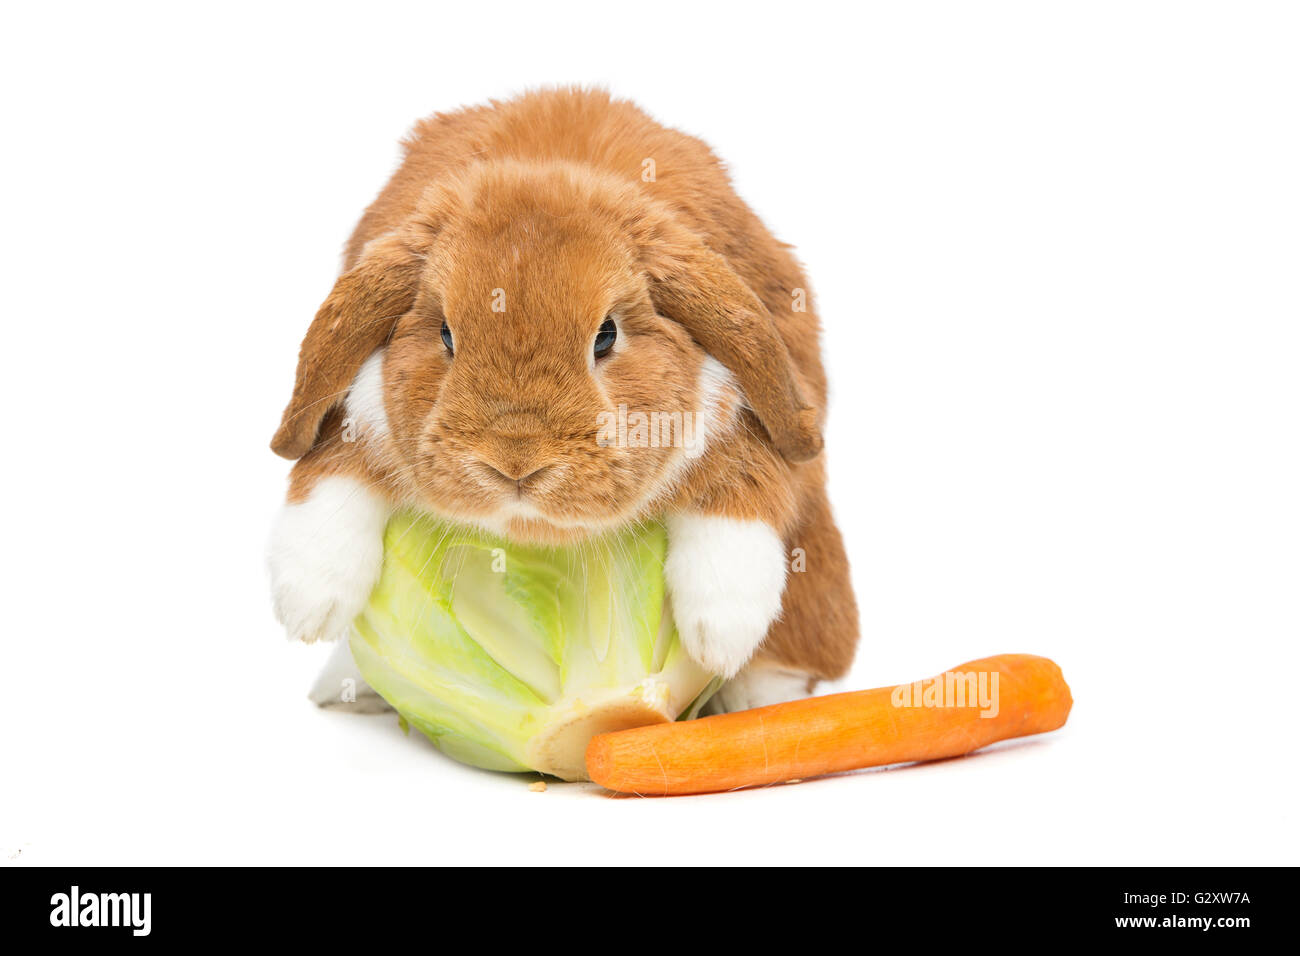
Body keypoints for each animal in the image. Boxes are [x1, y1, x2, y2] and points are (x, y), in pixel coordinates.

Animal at [269, 87, 859, 715]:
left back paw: (757, 701)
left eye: (607, 335)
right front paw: (308, 603)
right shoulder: (353, 411)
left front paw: (720, 634)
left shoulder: (760, 423)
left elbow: (745, 482)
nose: (515, 465)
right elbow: (331, 471)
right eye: (447, 334)